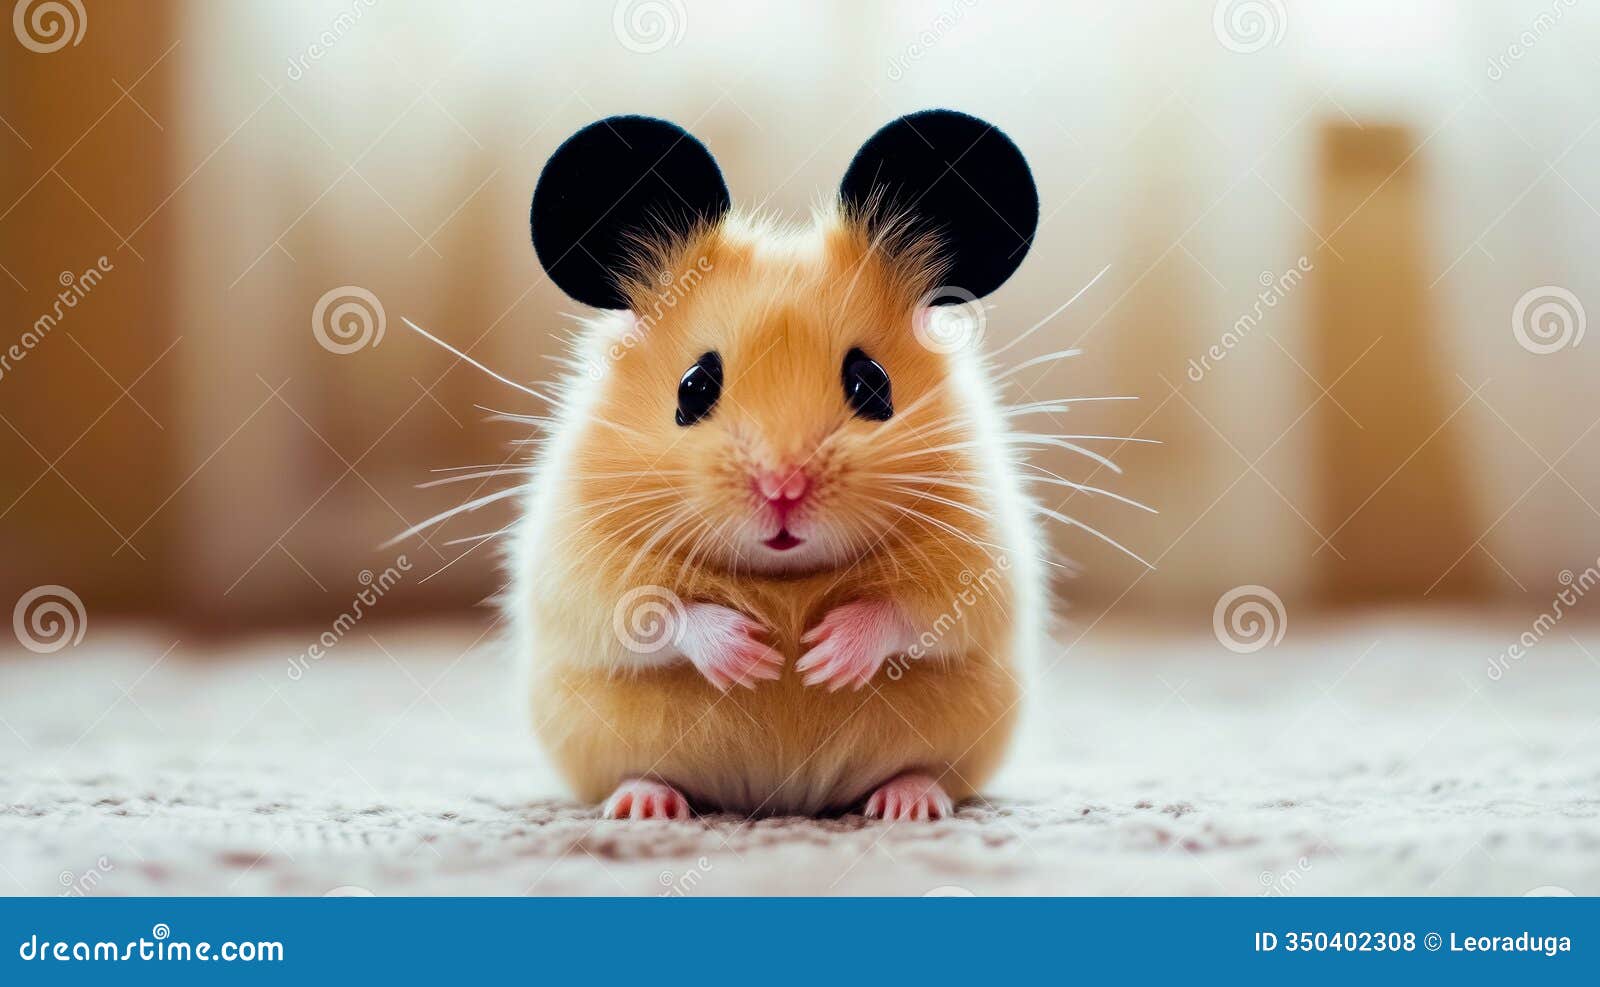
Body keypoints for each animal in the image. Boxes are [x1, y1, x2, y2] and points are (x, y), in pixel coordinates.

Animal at [504, 110, 1058, 820]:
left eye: (872, 384)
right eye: (693, 388)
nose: (782, 488)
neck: (785, 577)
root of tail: (779, 801)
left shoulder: (981, 554)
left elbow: (913, 613)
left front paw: (821, 659)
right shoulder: (578, 561)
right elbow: (652, 613)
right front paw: (757, 658)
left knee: (927, 771)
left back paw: (906, 802)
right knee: (638, 770)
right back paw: (644, 806)